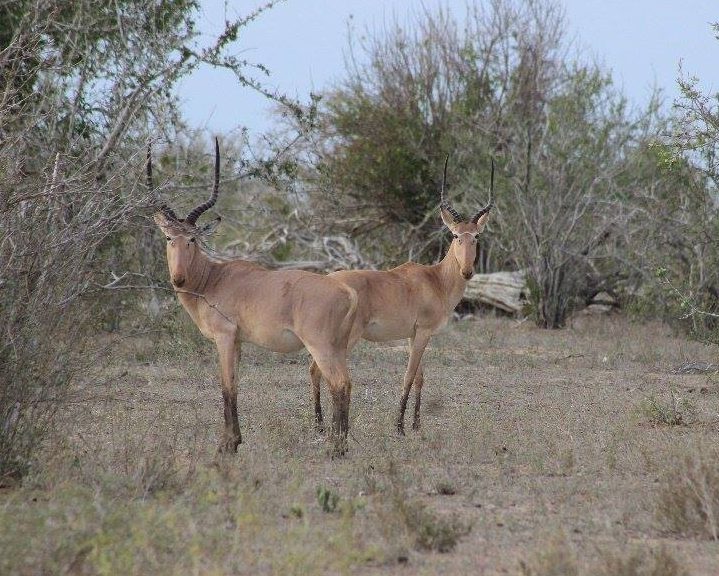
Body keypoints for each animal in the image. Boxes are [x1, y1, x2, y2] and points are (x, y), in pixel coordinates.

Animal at [150, 139, 358, 454]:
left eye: (193, 238)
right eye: (168, 238)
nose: (179, 278)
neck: (214, 278)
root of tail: (345, 291)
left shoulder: (224, 338)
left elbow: (225, 385)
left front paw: (226, 445)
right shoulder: (237, 342)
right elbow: (235, 385)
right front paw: (235, 441)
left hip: (321, 347)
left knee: (340, 384)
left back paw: (336, 448)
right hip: (337, 348)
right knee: (347, 384)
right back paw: (340, 446)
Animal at [310, 158, 494, 434]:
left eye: (476, 235)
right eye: (455, 235)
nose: (467, 271)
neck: (435, 280)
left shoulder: (414, 335)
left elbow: (419, 377)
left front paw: (416, 424)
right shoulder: (424, 332)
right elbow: (408, 377)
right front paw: (399, 427)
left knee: (315, 369)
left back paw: (320, 425)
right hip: (346, 338)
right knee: (320, 370)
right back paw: (324, 426)